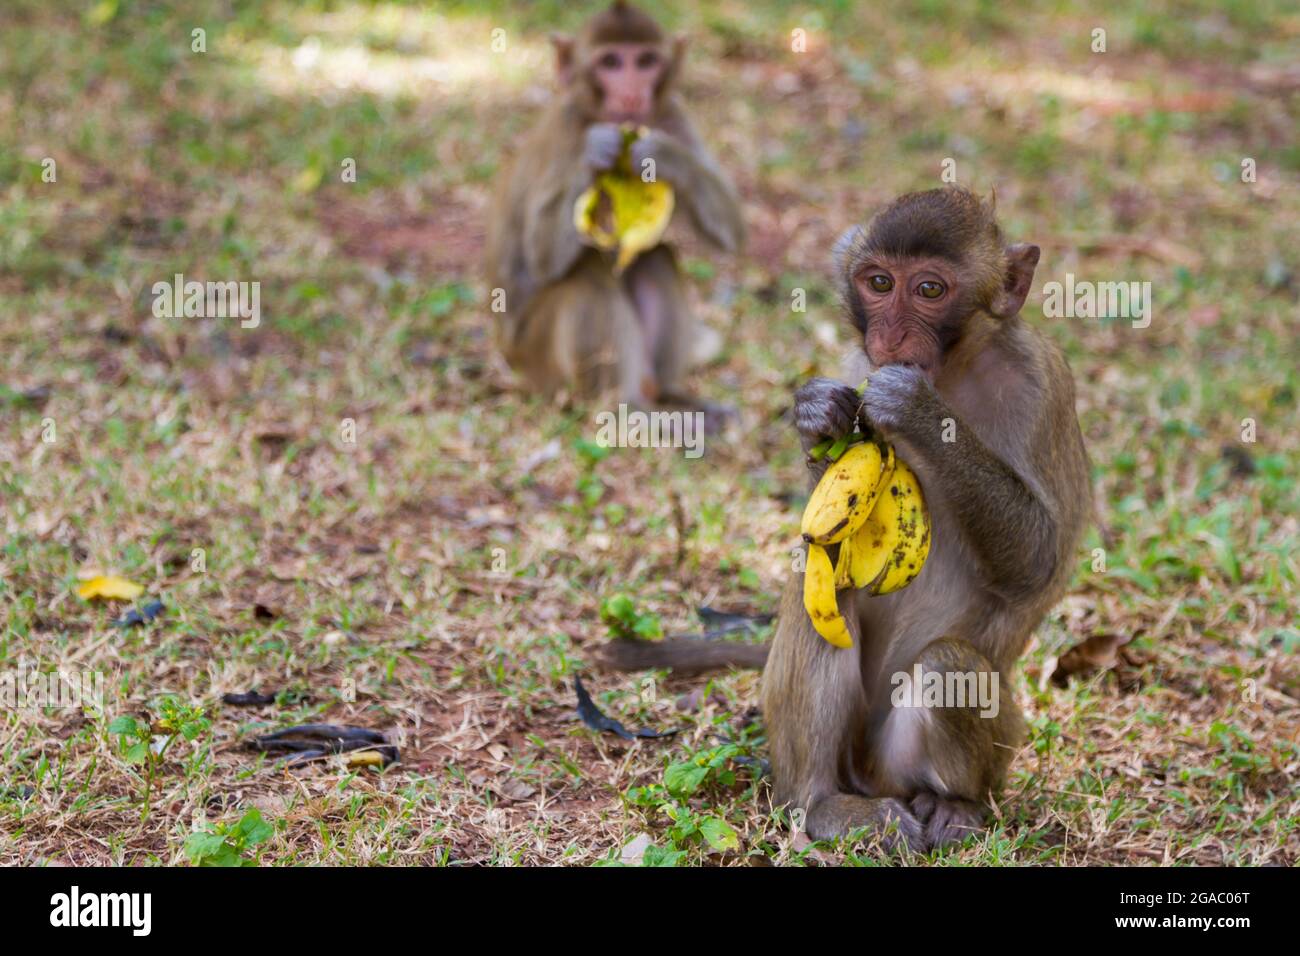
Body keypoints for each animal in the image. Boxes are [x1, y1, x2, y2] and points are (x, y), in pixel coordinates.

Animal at [484, 1, 744, 419]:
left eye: (645, 61)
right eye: (610, 62)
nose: (632, 93)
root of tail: (509, 361)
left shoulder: (673, 113)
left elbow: (734, 230)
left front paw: (664, 154)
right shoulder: (567, 129)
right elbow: (541, 256)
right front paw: (596, 152)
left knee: (655, 256)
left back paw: (671, 397)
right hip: (540, 361)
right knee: (587, 272)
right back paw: (629, 406)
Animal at [601, 187, 1090, 851]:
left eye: (929, 290)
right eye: (879, 282)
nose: (891, 334)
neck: (956, 369)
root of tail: (867, 777)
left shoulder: (1040, 383)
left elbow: (1039, 560)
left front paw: (913, 409)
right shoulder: (854, 358)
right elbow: (820, 537)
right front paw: (817, 417)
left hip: (956, 756)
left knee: (949, 665)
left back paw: (954, 804)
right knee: (820, 590)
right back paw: (817, 803)